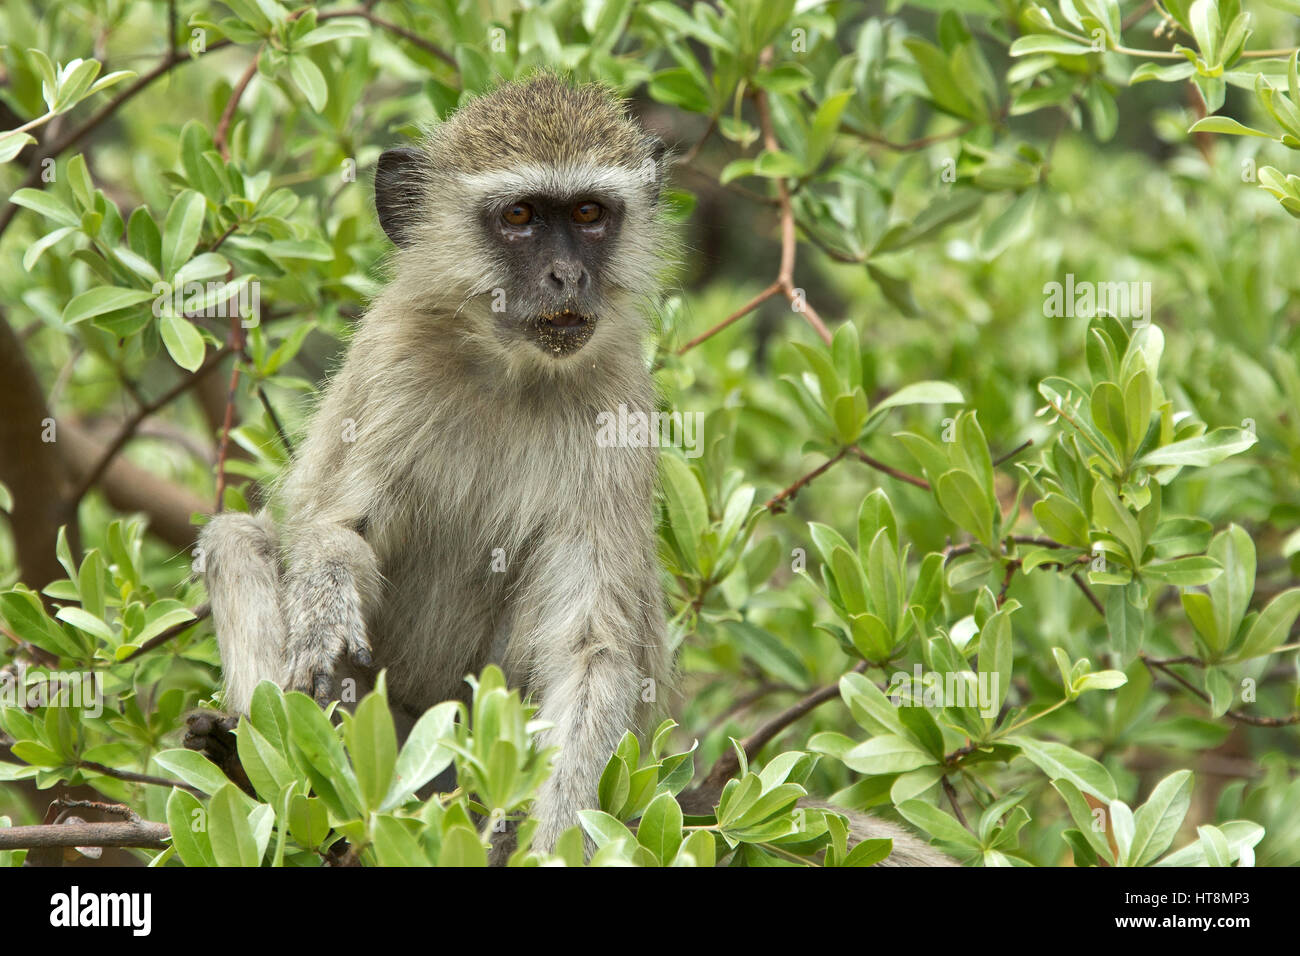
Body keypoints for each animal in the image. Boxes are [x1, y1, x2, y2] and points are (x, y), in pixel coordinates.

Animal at [192, 75, 953, 867]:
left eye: (589, 214)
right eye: (521, 216)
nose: (567, 276)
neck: (508, 371)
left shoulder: (617, 402)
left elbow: (590, 645)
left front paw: (553, 839)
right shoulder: (390, 360)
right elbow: (333, 523)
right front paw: (326, 607)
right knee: (235, 540)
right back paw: (262, 773)